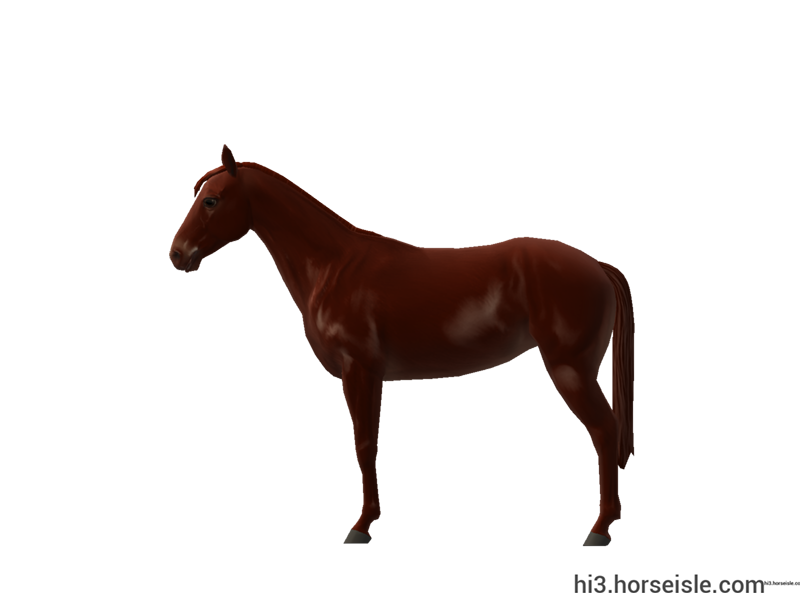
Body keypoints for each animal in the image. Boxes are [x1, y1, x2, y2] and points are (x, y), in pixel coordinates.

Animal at [170, 148, 634, 537]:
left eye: (211, 200)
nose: (178, 253)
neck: (334, 267)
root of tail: (597, 267)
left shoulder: (359, 367)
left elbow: (364, 443)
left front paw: (363, 522)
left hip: (571, 366)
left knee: (604, 429)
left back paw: (601, 524)